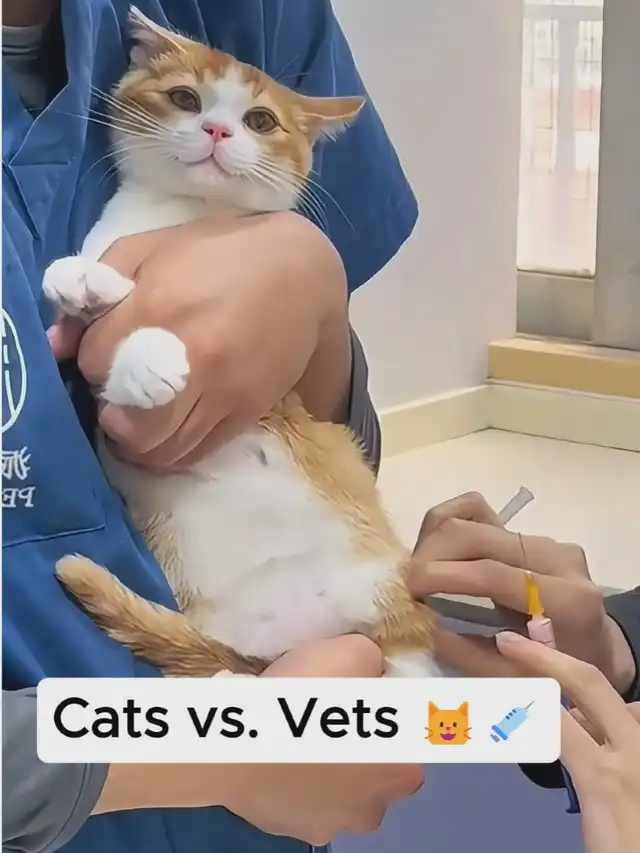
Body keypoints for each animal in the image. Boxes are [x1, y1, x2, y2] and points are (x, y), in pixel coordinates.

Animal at [45, 6, 440, 679]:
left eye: (259, 120)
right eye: (185, 98)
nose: (216, 130)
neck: (184, 213)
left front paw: (149, 355)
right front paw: (81, 280)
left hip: (391, 609)